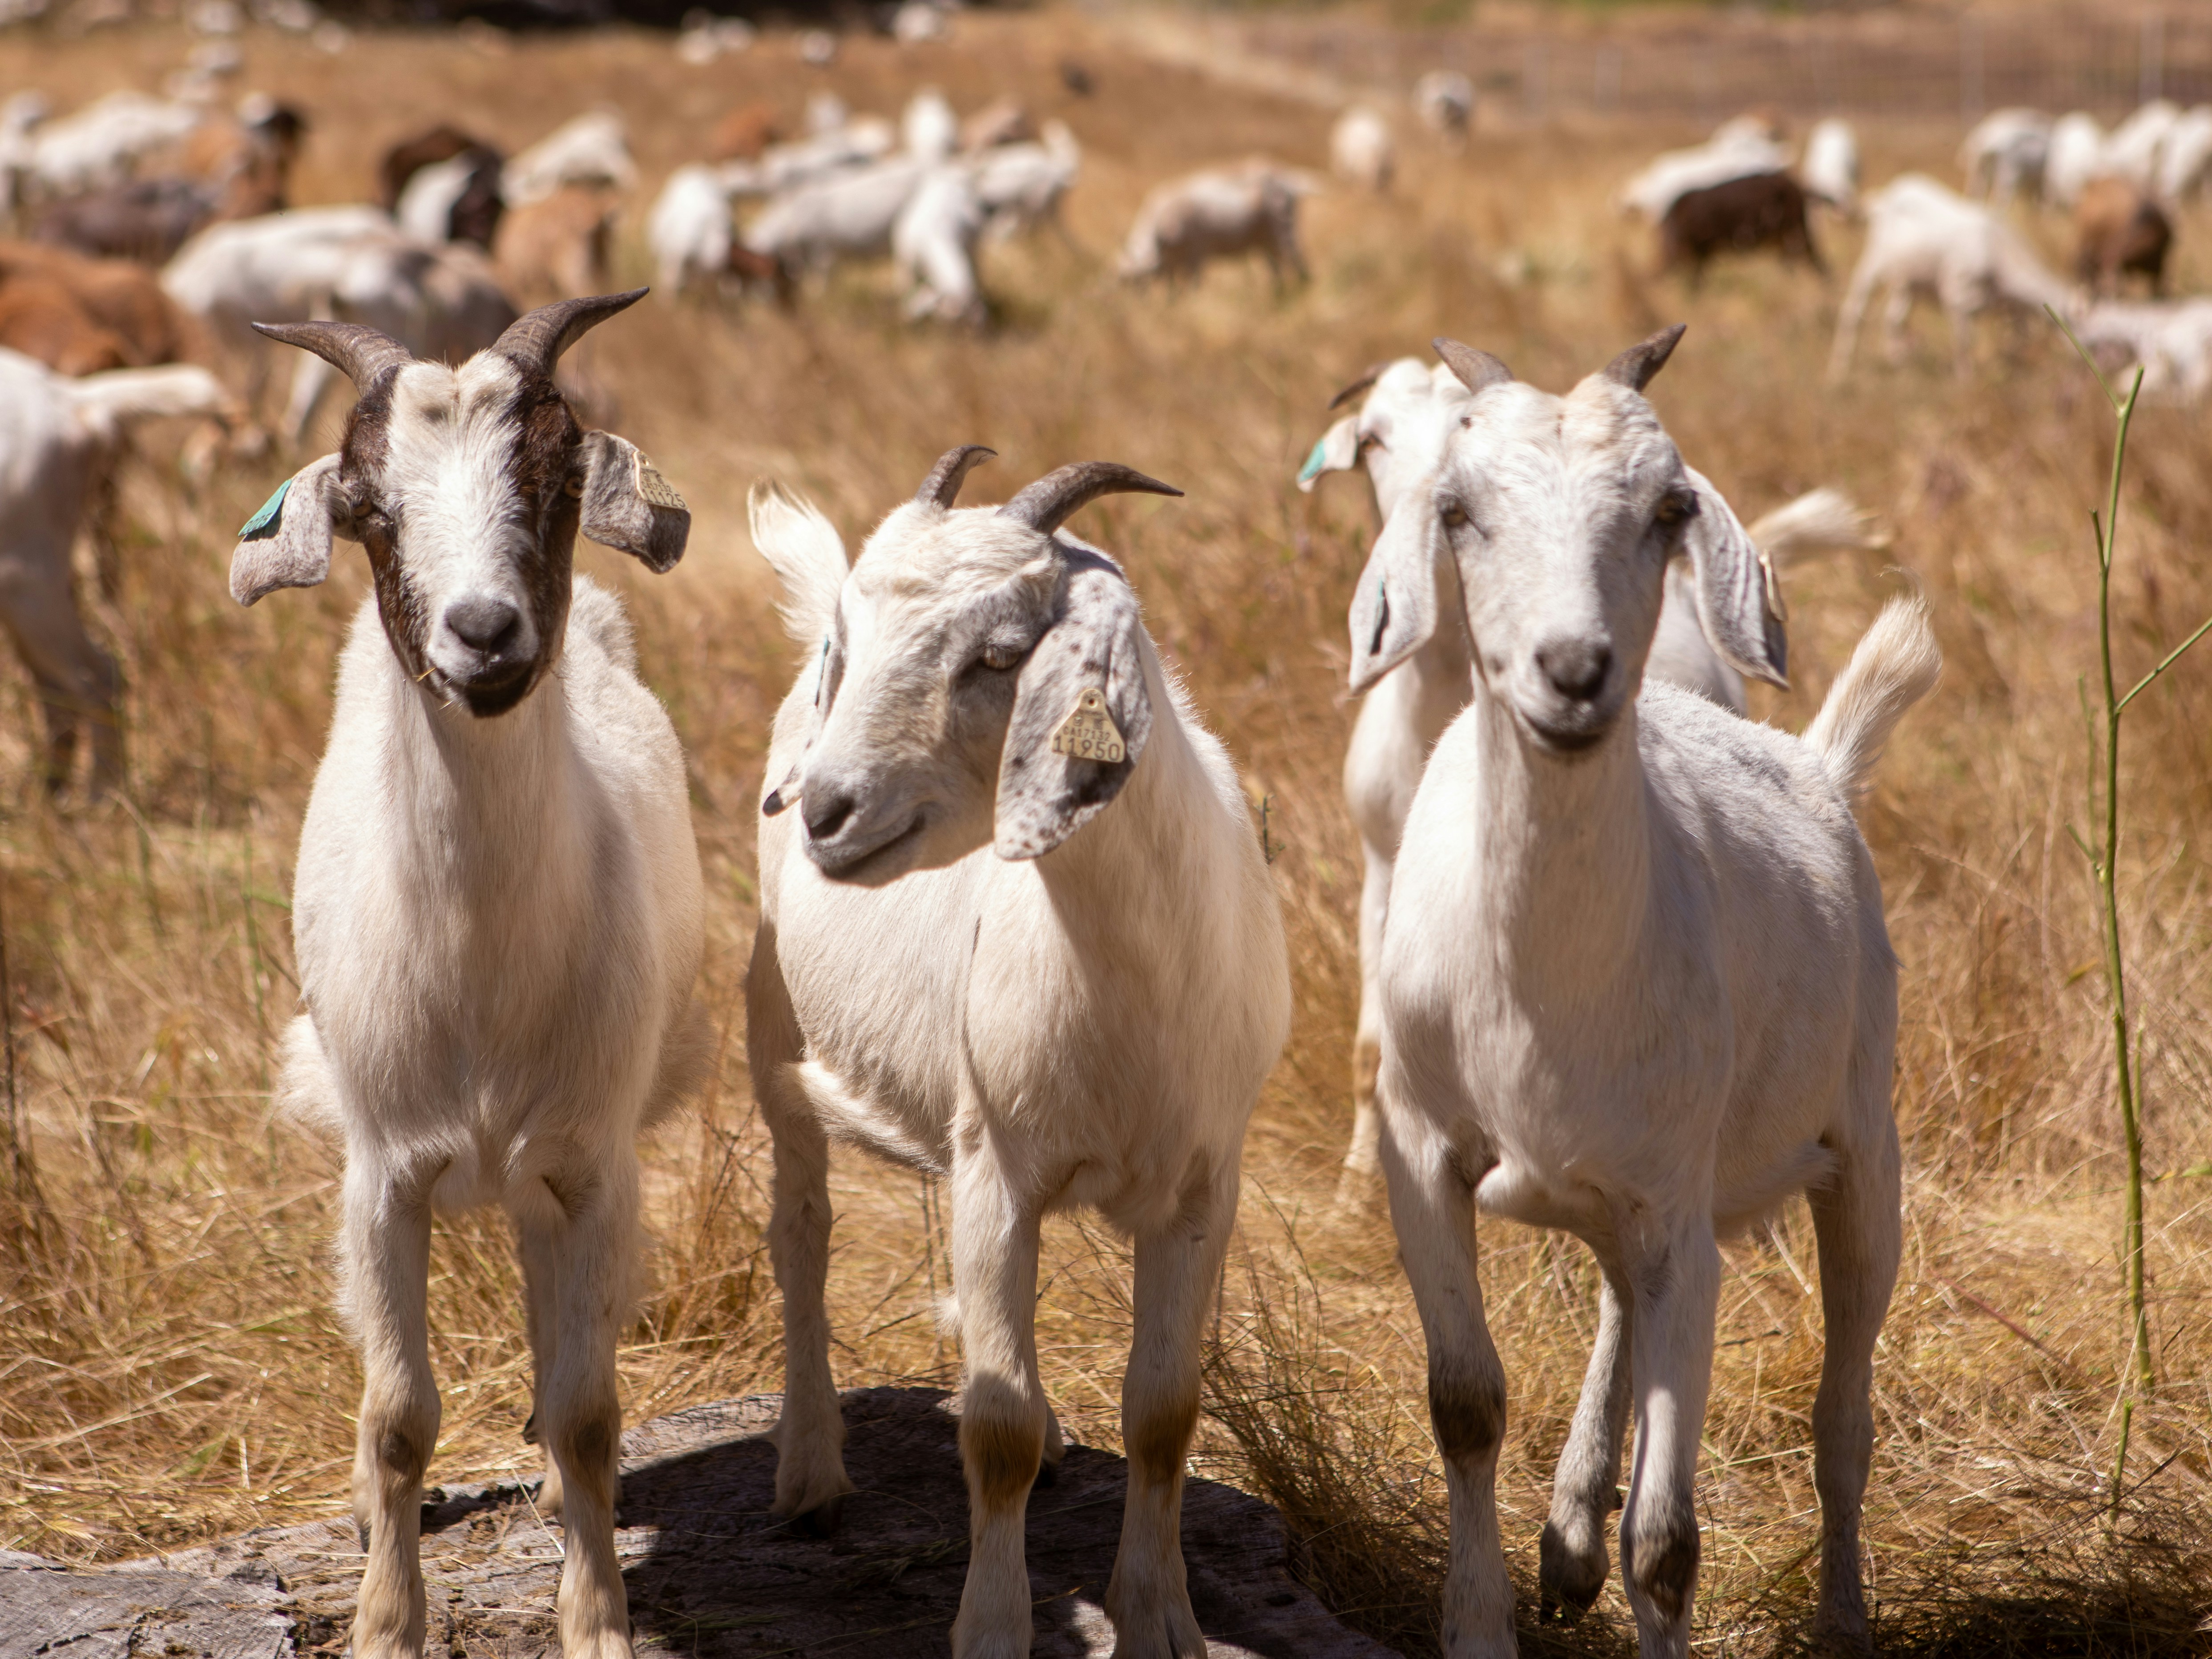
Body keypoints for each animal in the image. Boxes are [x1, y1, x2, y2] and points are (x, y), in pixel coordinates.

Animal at [234, 291, 708, 1659]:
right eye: (367, 506)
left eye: (555, 481)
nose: (485, 633)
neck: (483, 978)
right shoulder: (383, 1174)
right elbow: (396, 1417)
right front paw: (387, 1623)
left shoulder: (593, 1164)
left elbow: (592, 1411)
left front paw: (595, 1619)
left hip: (553, 1180)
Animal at [745, 449, 1289, 1659]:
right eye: (851, 642)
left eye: (998, 653)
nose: (825, 810)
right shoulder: (999, 1164)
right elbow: (992, 1432)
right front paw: (992, 1625)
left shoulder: (1203, 1183)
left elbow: (1164, 1410)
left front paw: (1162, 1615)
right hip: (777, 1041)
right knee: (800, 1236)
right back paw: (808, 1473)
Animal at [1118, 160, 1315, 290]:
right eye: (1126, 283)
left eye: (1142, 281)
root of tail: (1287, 183)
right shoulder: (1174, 261)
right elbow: (1172, 286)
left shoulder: (1197, 252)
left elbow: (1194, 285)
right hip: (1265, 239)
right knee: (1277, 267)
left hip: (1282, 231)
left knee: (1296, 258)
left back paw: (1302, 287)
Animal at [1828, 174, 2074, 380]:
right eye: (2073, 322)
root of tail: (1883, 199)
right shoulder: (1957, 295)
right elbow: (1964, 341)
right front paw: (1965, 377)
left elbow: (2017, 334)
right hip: (1875, 261)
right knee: (1855, 309)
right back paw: (1841, 367)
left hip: (1908, 280)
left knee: (1894, 318)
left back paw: (1900, 359)